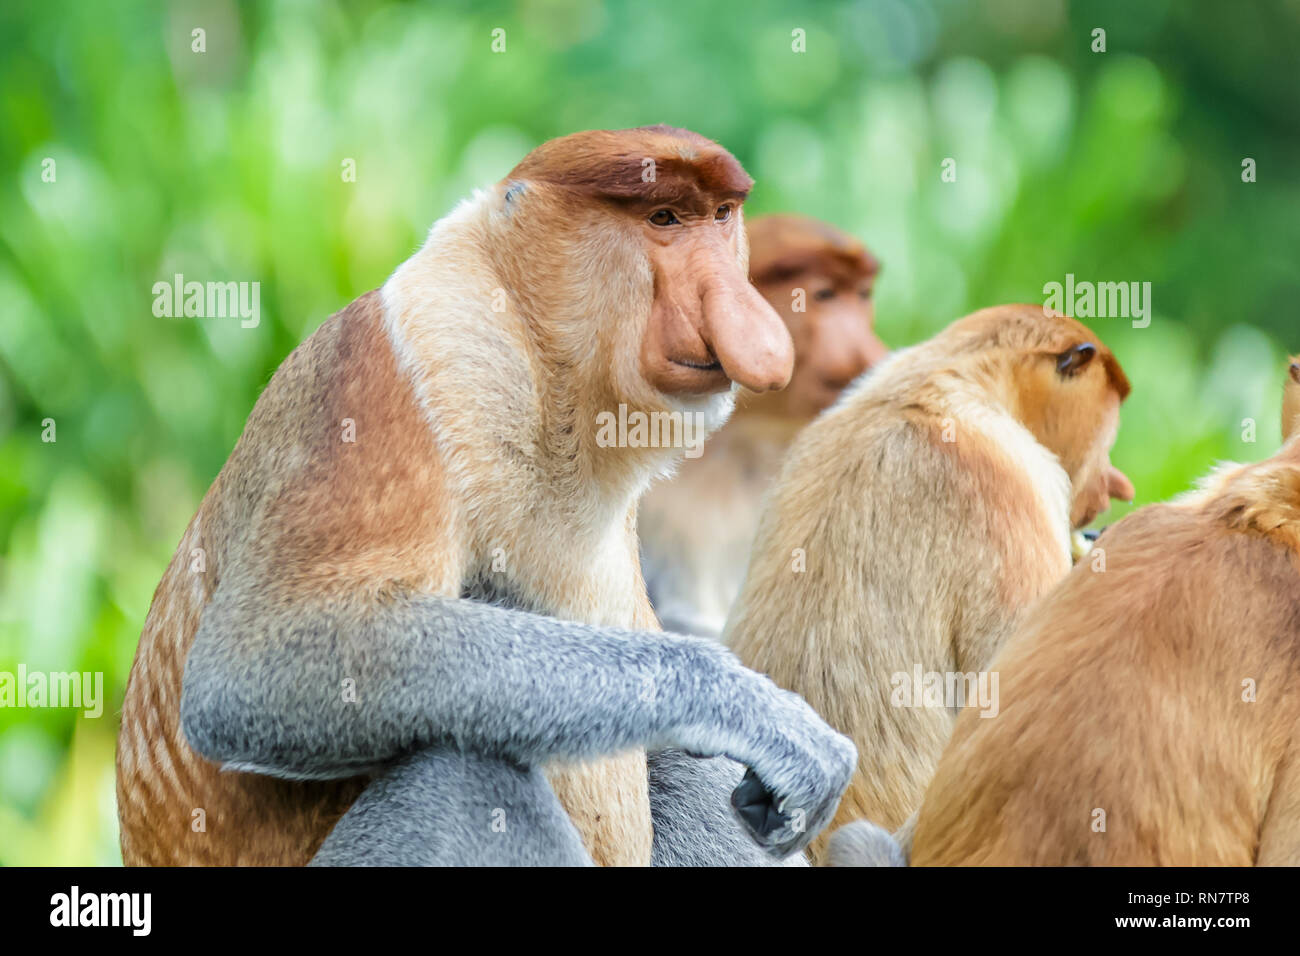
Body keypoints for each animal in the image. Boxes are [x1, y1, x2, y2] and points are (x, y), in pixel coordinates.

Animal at [115, 126, 857, 867]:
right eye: (665, 219)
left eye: (721, 216)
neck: (552, 381)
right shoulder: (412, 363)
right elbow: (253, 665)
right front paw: (756, 711)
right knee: (461, 773)